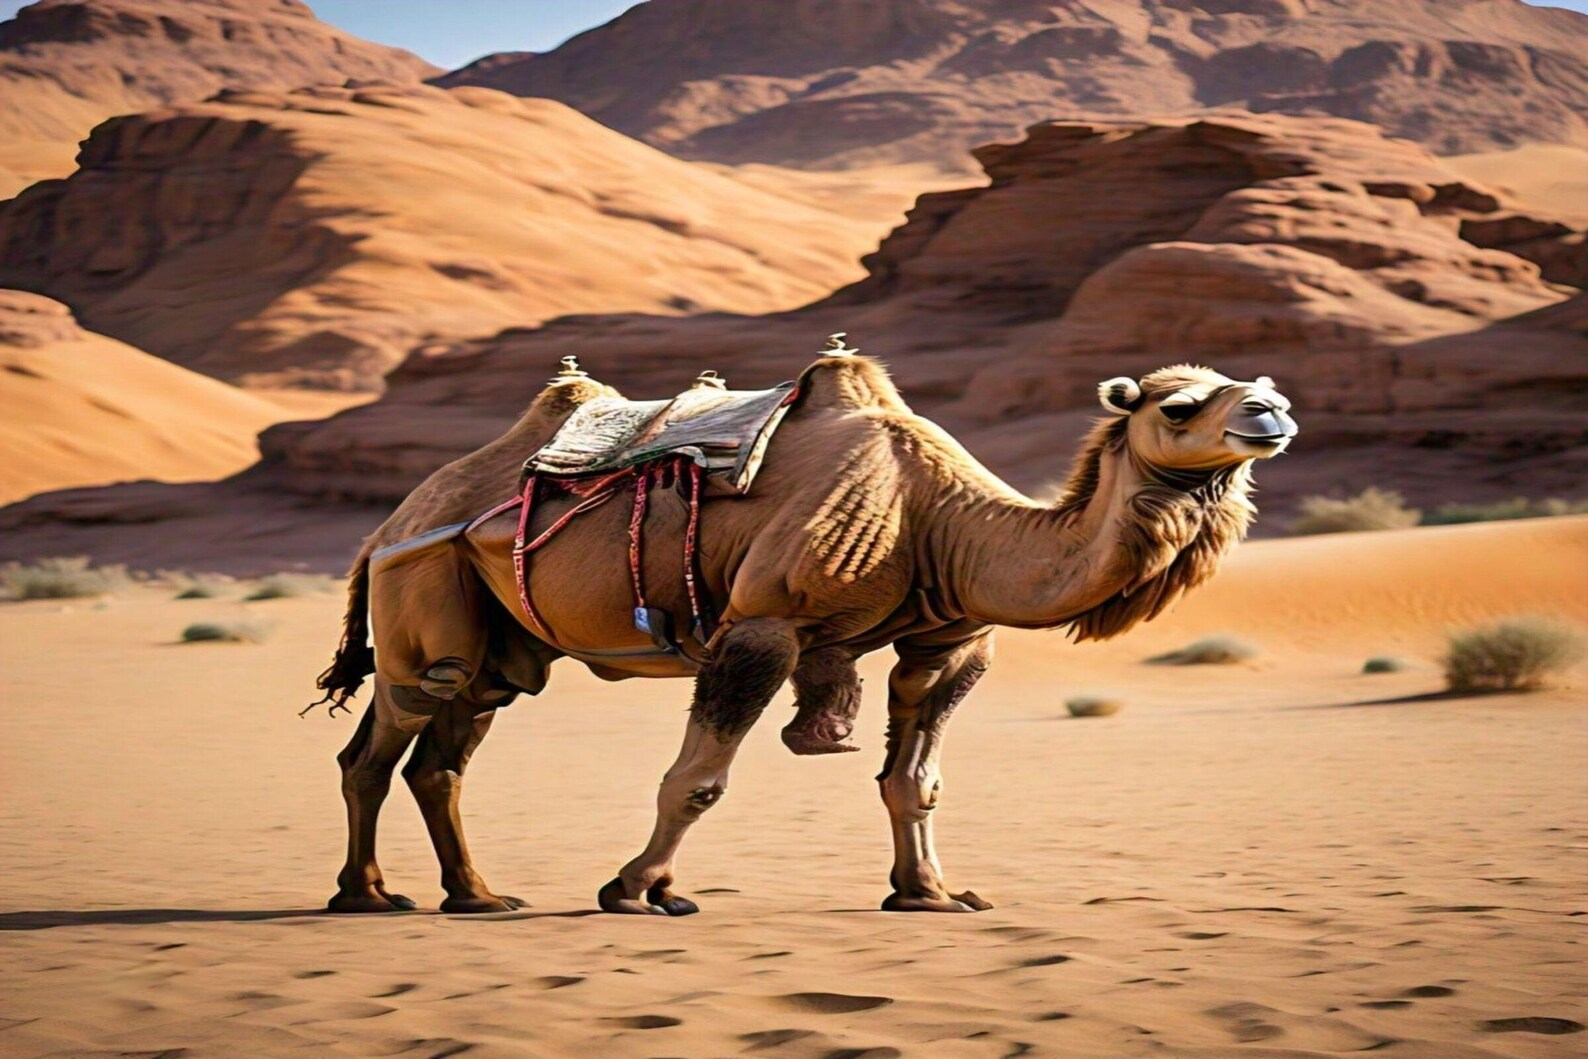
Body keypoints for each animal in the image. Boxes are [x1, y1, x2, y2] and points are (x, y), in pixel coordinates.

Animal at [315, 345, 1298, 915]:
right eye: (1176, 406)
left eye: (1261, 386)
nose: (1272, 414)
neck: (944, 519)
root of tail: (388, 522)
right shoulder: (764, 624)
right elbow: (697, 780)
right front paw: (637, 889)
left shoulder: (947, 641)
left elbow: (914, 780)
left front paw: (930, 892)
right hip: (421, 594)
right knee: (380, 742)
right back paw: (367, 896)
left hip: (504, 645)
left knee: (442, 757)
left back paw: (477, 897)